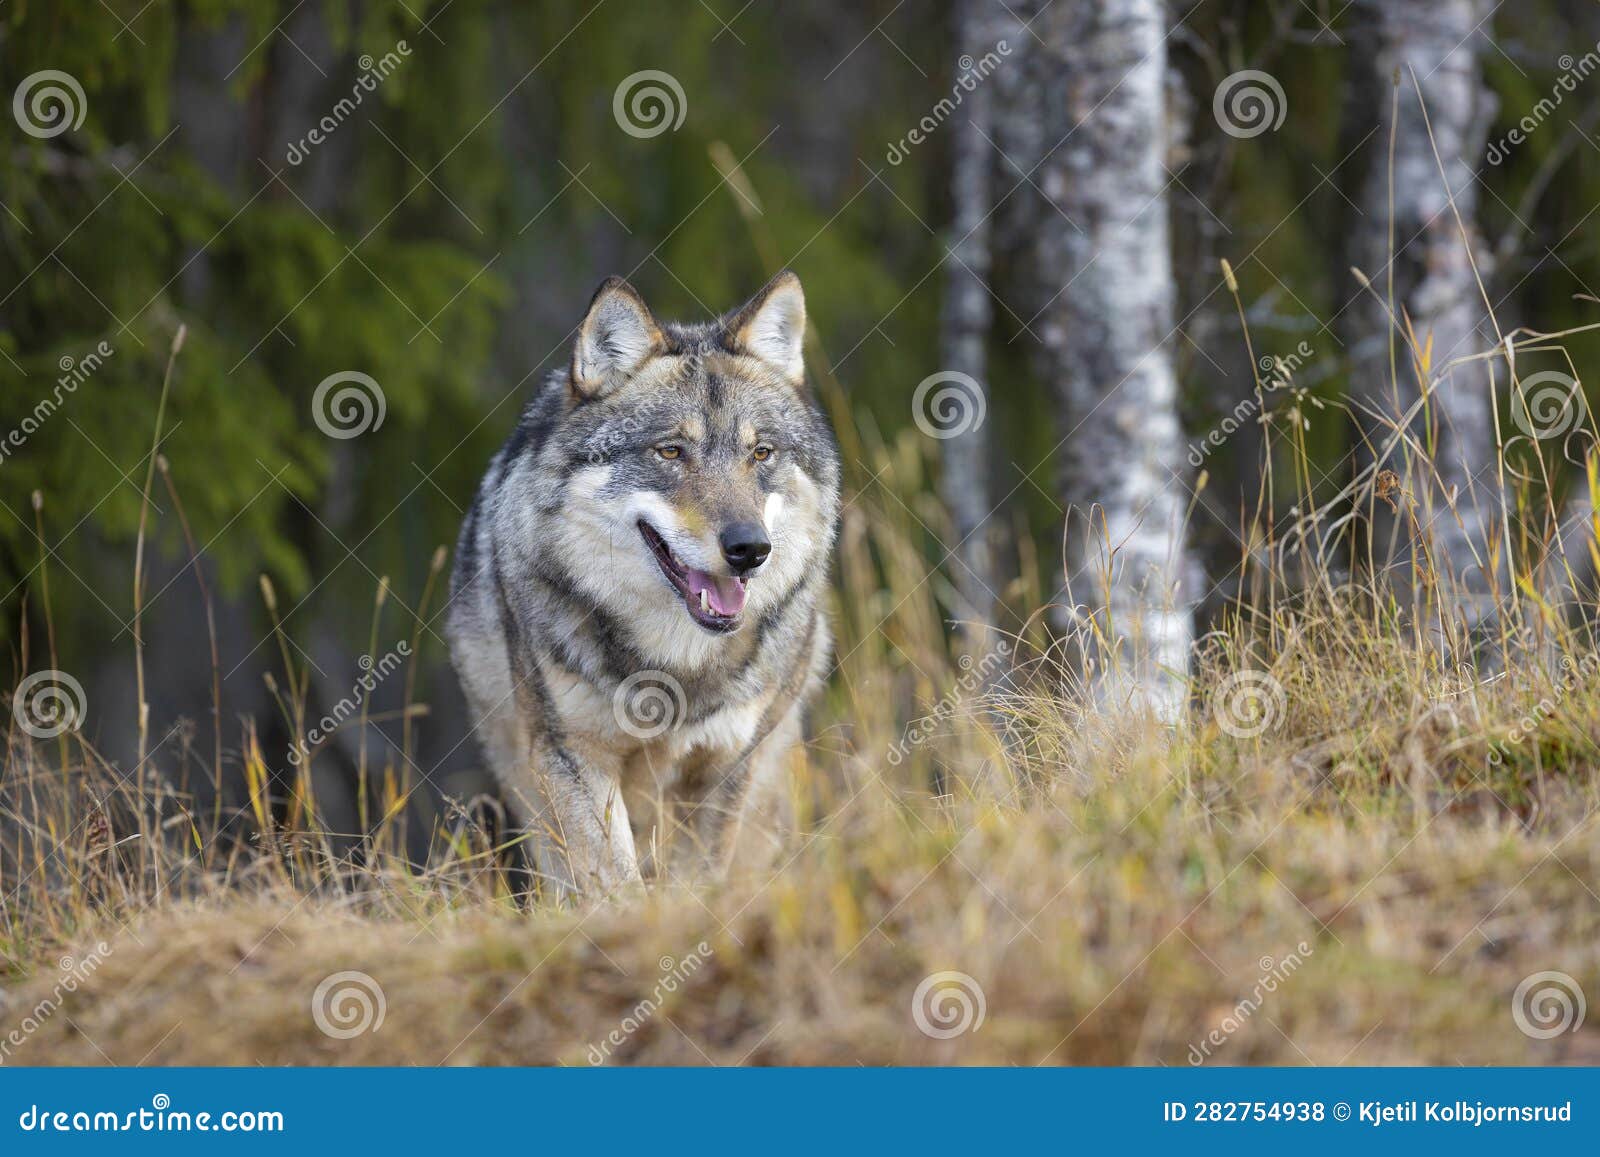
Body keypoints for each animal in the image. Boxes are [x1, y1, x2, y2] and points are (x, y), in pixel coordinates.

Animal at [446, 271, 840, 900]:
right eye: (671, 451)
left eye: (761, 453)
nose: (750, 549)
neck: (674, 665)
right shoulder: (574, 756)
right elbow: (616, 883)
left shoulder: (724, 768)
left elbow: (697, 880)